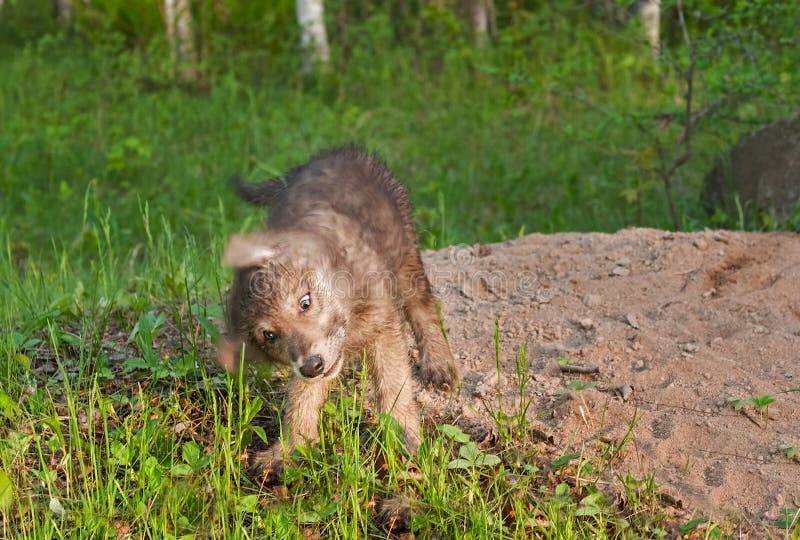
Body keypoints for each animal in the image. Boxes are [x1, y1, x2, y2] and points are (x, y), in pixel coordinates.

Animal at [217, 146, 458, 469]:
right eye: (269, 336)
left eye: (305, 303)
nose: (312, 365)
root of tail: (332, 153)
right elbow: (301, 401)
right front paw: (289, 449)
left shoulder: (384, 328)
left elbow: (394, 386)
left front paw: (406, 439)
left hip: (406, 255)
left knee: (424, 306)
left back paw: (438, 362)